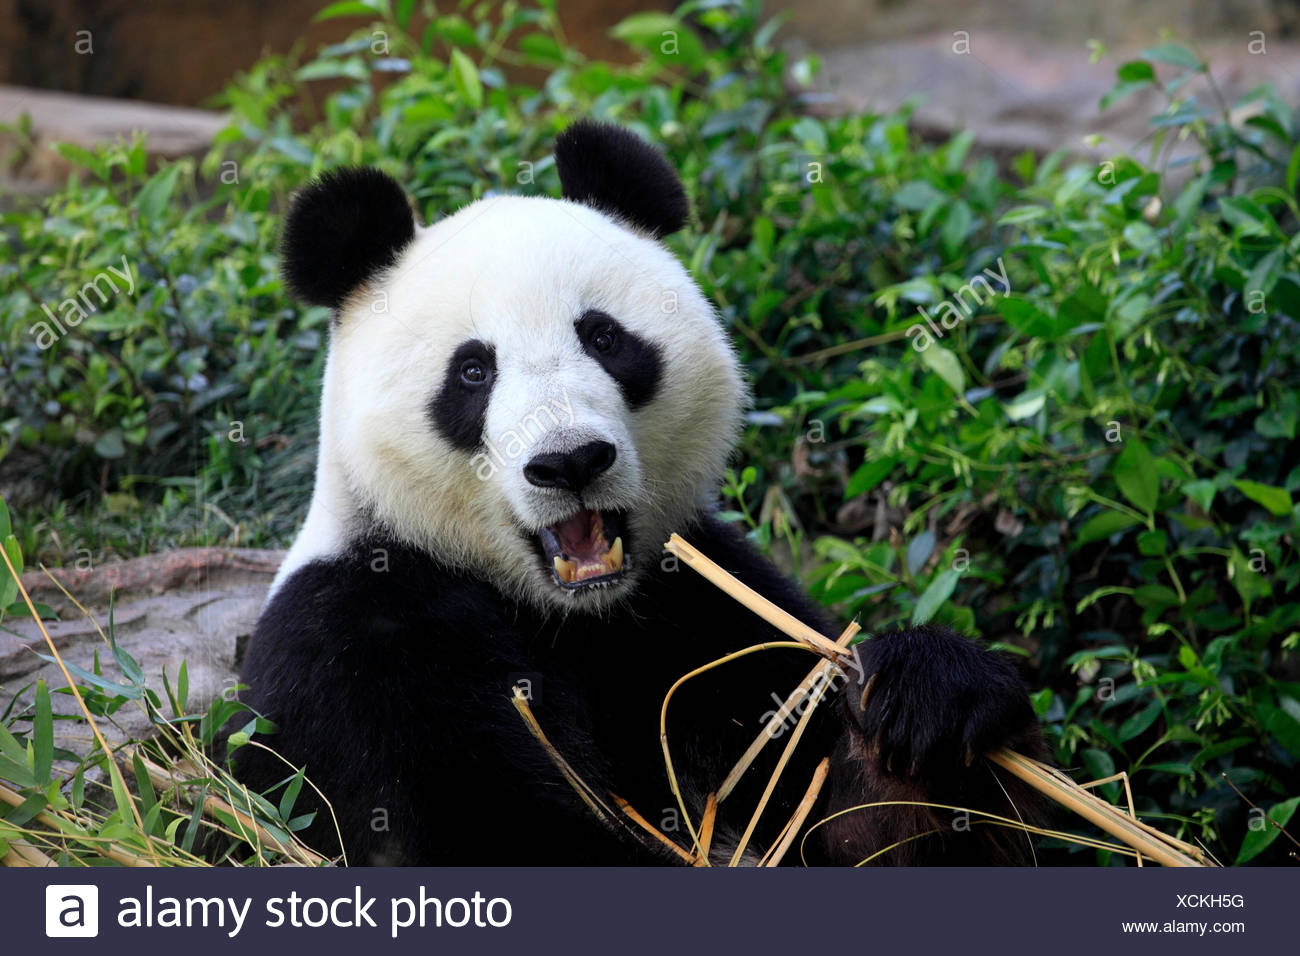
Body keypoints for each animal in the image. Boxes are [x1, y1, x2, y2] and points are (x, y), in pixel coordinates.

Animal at [235, 120, 1050, 866]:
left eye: (604, 338)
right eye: (472, 371)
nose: (569, 462)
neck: (574, 617)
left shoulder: (701, 609)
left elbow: (835, 813)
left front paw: (927, 699)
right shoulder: (360, 640)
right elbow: (475, 832)